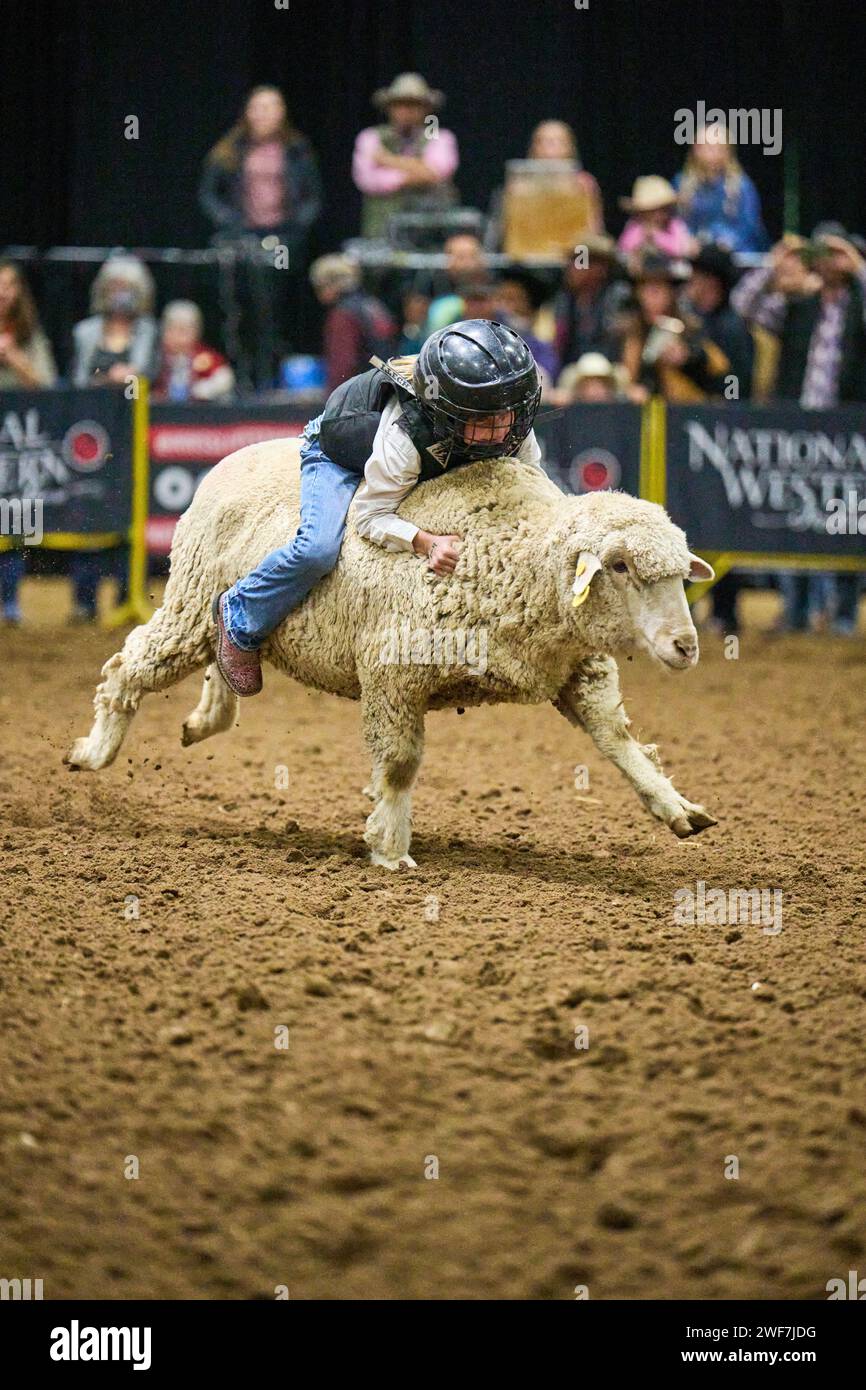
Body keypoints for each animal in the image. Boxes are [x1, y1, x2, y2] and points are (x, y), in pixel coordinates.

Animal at [66, 437, 718, 868]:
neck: (512, 555)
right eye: (620, 567)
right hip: (189, 602)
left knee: (231, 638)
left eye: (680, 574)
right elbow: (400, 764)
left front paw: (676, 806)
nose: (686, 646)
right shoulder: (393, 674)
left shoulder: (579, 670)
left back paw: (206, 715)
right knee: (129, 665)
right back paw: (93, 751)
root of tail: (229, 459)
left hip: (212, 607)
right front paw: (390, 849)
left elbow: (620, 741)